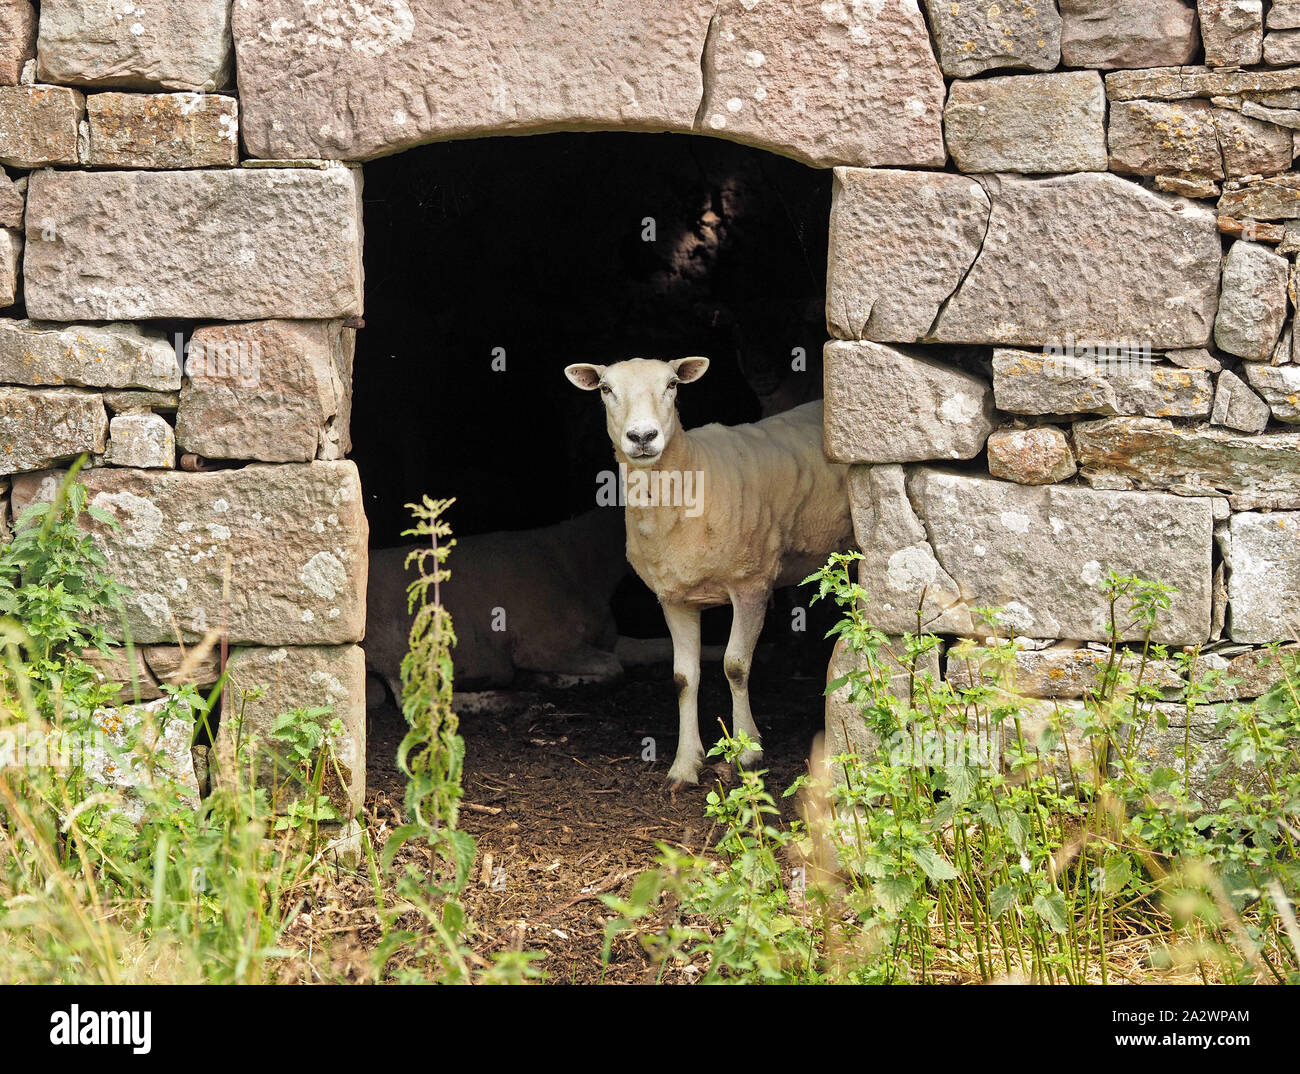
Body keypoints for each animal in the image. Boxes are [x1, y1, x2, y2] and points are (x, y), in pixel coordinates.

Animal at [565, 356, 854, 785]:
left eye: (672, 385)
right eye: (605, 388)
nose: (642, 436)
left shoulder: (752, 583)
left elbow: (735, 666)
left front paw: (748, 752)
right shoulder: (674, 596)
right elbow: (684, 678)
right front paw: (685, 764)